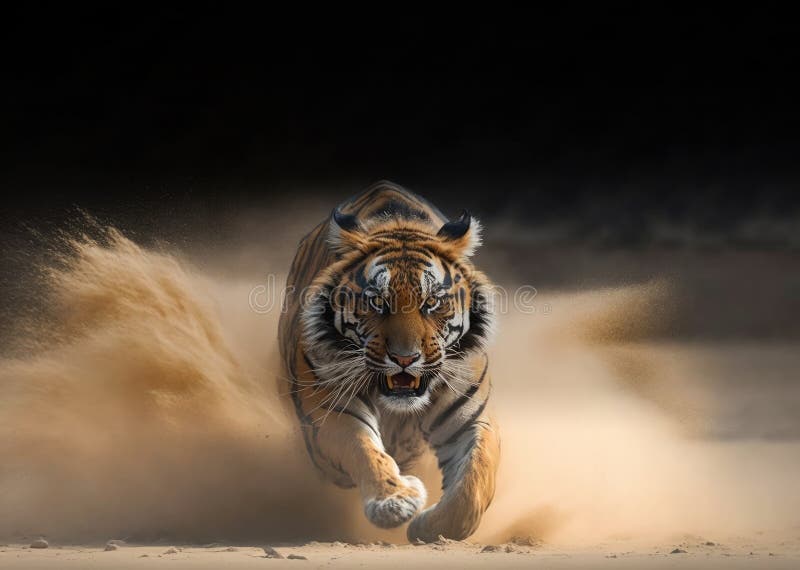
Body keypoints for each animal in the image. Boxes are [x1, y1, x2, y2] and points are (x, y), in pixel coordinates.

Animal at [278, 181, 499, 542]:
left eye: (432, 302)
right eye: (377, 302)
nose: (405, 358)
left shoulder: (471, 419)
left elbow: (474, 484)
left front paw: (428, 526)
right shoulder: (332, 410)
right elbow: (364, 451)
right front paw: (395, 501)